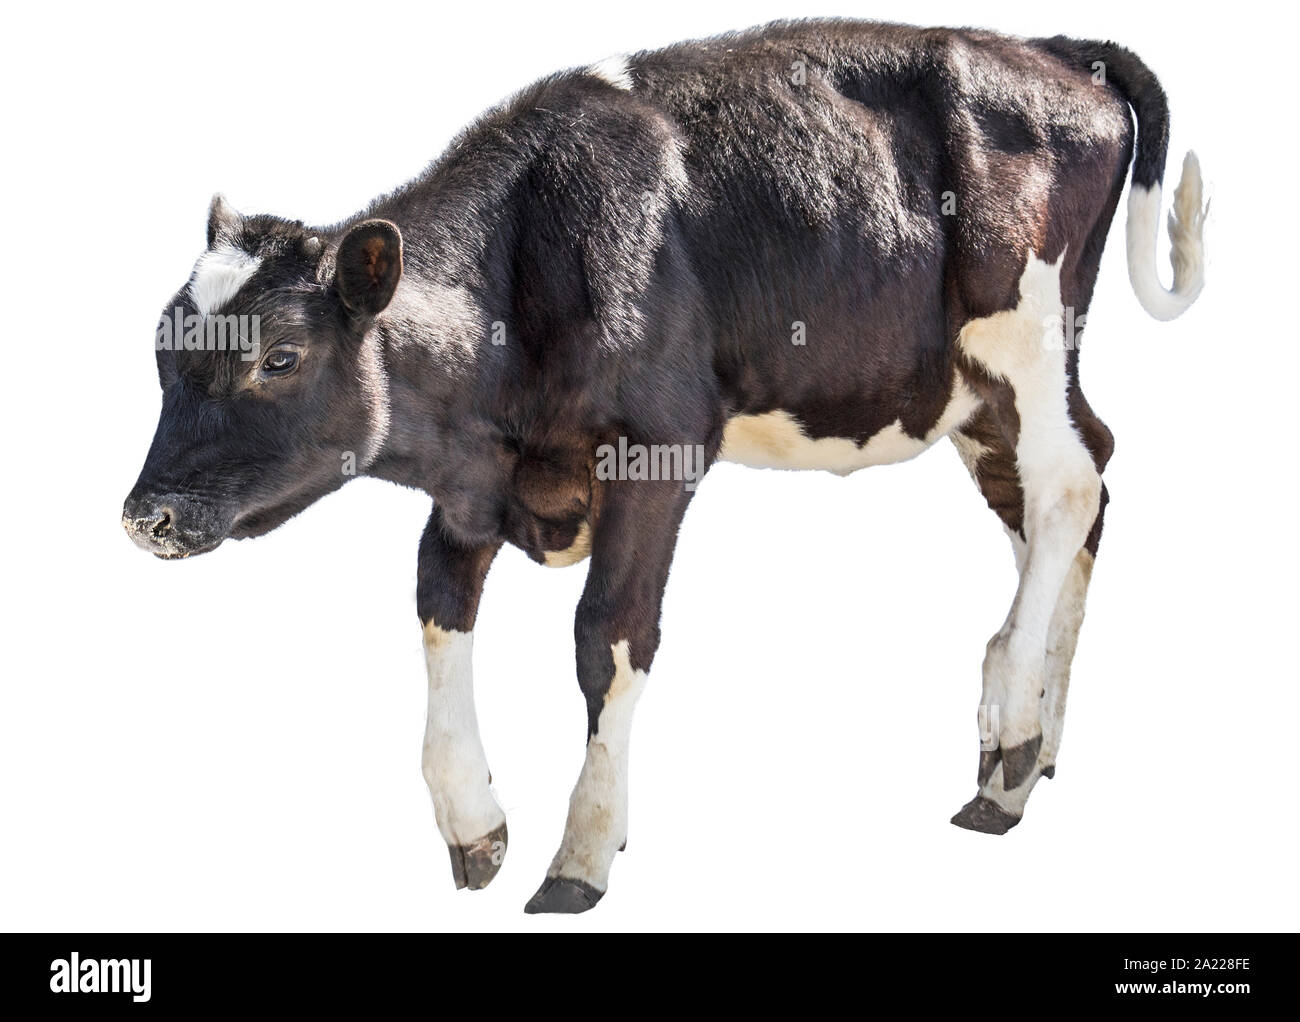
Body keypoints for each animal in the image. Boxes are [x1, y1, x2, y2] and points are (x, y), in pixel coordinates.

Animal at [122, 19, 1206, 913]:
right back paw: (1033, 745)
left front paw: (581, 852)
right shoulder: (476, 485)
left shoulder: (661, 452)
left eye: (279, 357)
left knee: (1067, 488)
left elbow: (606, 636)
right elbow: (438, 609)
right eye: (163, 348)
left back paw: (1008, 736)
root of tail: (1048, 47)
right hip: (978, 389)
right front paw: (474, 824)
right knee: (1072, 485)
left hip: (1020, 336)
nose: (148, 514)